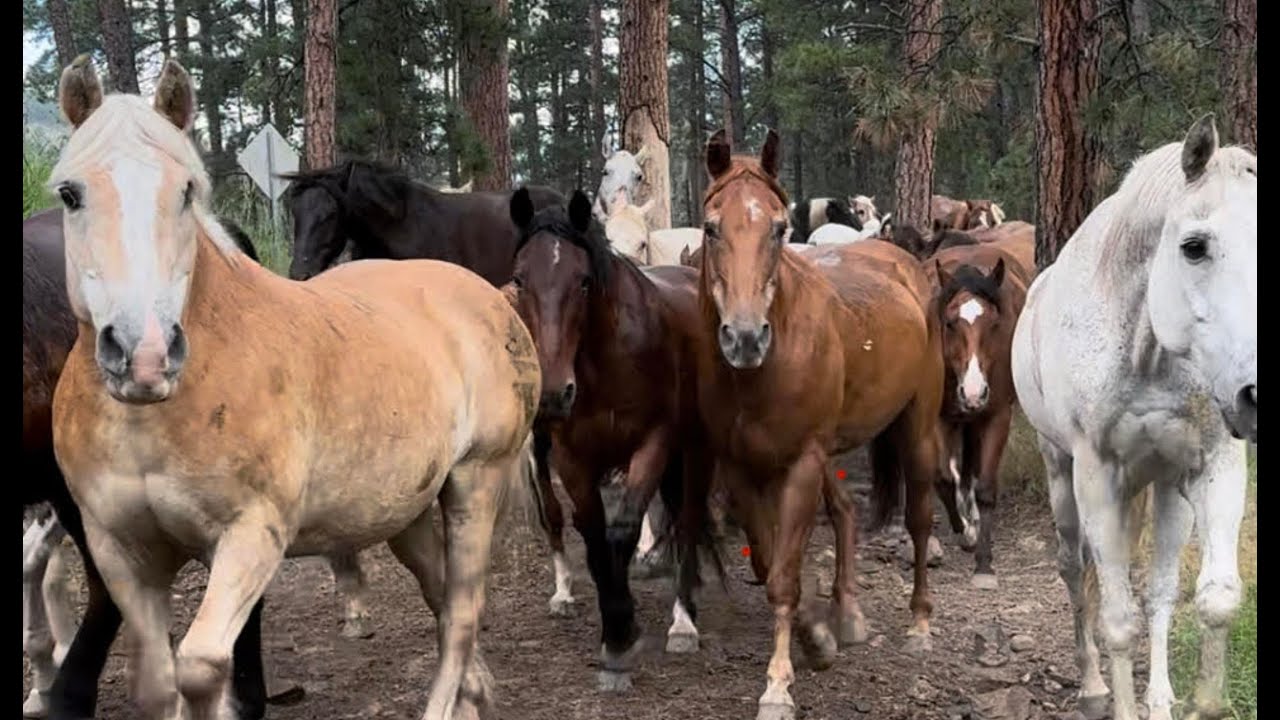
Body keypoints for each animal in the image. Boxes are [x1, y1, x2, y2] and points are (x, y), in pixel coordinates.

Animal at [507, 187, 719, 691]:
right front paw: (614, 631)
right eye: (520, 279)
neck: (607, 362)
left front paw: (624, 630)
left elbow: (623, 529)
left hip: (696, 451)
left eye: (584, 281)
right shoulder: (571, 459)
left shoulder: (654, 443)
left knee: (688, 518)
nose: (553, 393)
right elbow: (592, 534)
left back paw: (684, 620)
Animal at [696, 128, 944, 720]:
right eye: (712, 228)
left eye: (779, 228)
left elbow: (784, 576)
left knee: (920, 519)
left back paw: (920, 623)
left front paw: (779, 684)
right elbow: (769, 563)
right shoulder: (740, 468)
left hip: (918, 425)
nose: (744, 338)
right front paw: (818, 636)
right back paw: (847, 615)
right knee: (849, 510)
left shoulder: (803, 463)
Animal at [923, 248, 1029, 590]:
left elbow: (985, 488)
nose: (973, 392)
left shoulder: (997, 416)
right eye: (949, 322)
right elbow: (943, 478)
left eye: (995, 323)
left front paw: (984, 565)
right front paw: (964, 532)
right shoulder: (940, 416)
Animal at [1011, 115, 1256, 720]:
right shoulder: (1096, 476)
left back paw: (1160, 697)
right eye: (1194, 247)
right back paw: (1093, 686)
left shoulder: (1215, 465)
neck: (1147, 352)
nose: (1255, 393)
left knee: (1160, 590)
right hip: (1061, 474)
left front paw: (1192, 702)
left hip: (1165, 488)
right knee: (1076, 571)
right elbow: (1118, 620)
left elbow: (1212, 600)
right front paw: (1114, 698)